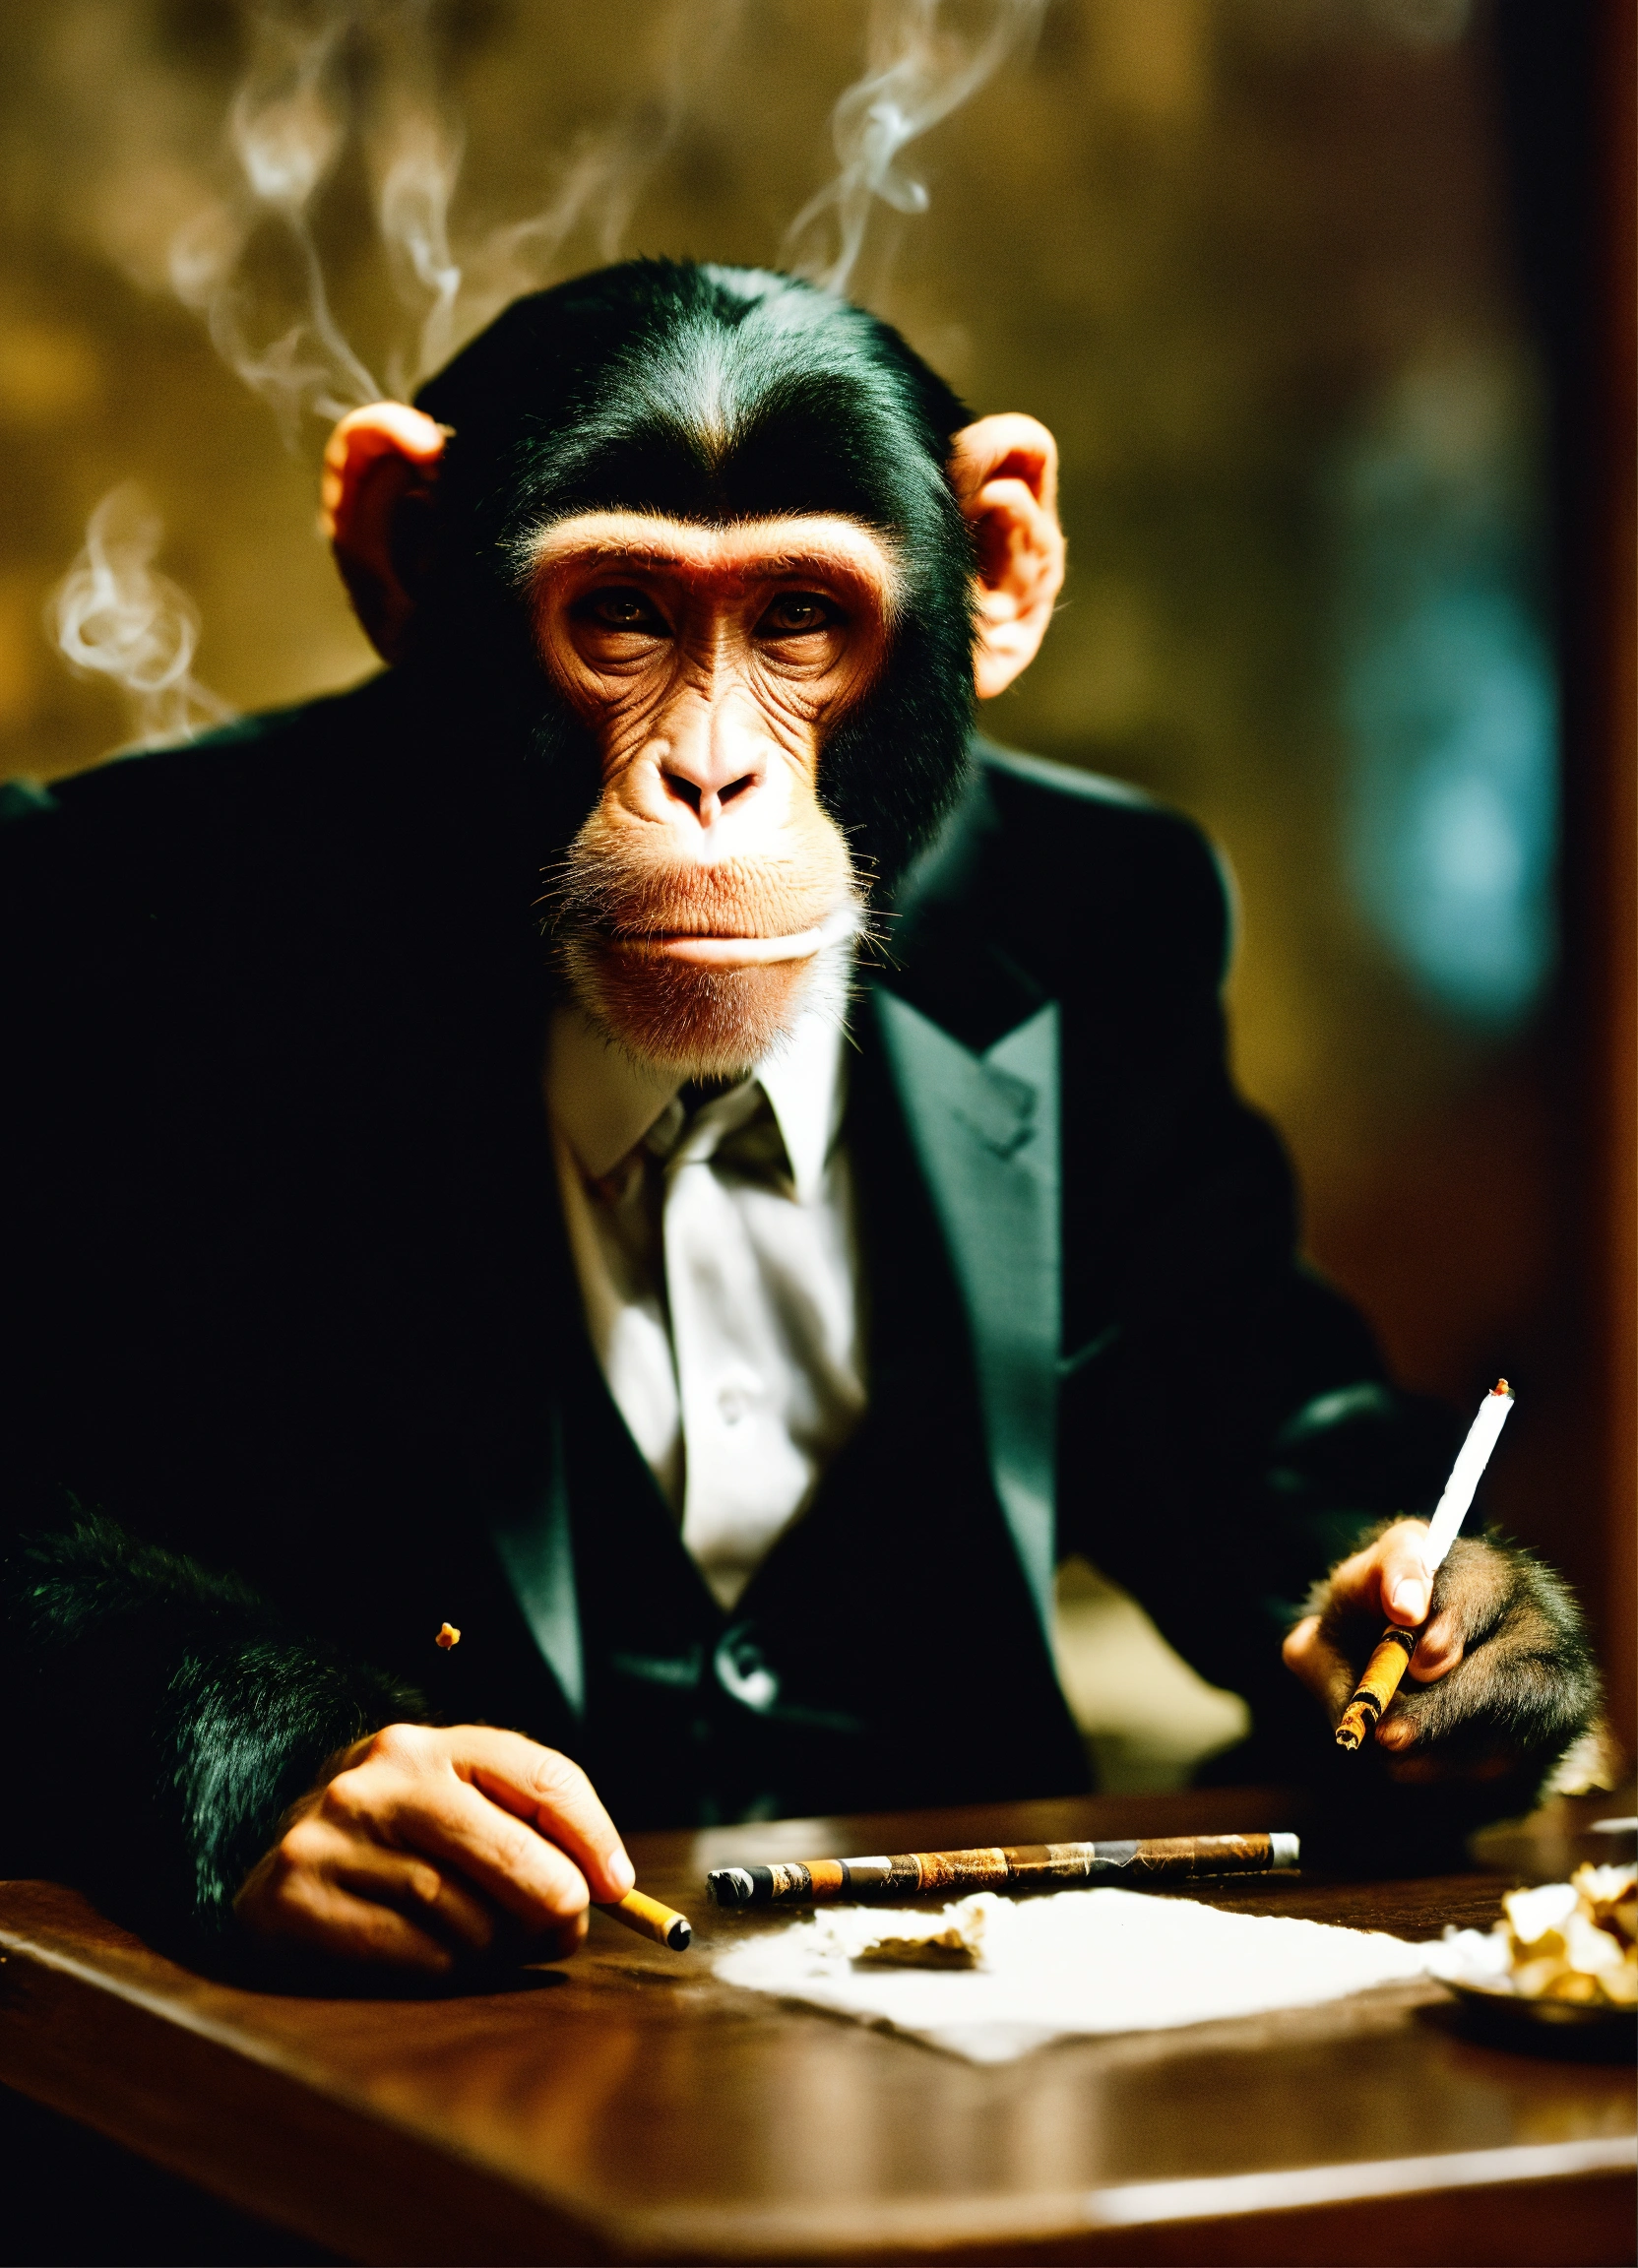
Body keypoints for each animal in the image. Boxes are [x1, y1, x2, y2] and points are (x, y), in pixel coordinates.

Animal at [0, 260, 1600, 1977]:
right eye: (622, 615)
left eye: (799, 619)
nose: (711, 780)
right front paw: (367, 1789)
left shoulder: (1156, 970)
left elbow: (1249, 1391)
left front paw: (1462, 1633)